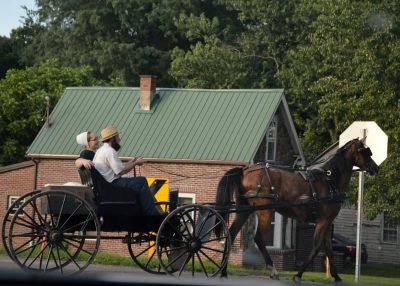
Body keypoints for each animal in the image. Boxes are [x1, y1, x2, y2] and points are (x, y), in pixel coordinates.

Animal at [216, 138, 378, 284]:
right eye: (365, 151)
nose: (375, 168)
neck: (330, 181)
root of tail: (245, 171)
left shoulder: (327, 223)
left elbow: (329, 250)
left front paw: (336, 277)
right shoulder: (323, 221)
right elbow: (316, 246)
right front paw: (298, 275)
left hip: (244, 211)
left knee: (231, 234)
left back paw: (223, 271)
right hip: (265, 211)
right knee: (259, 239)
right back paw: (273, 270)